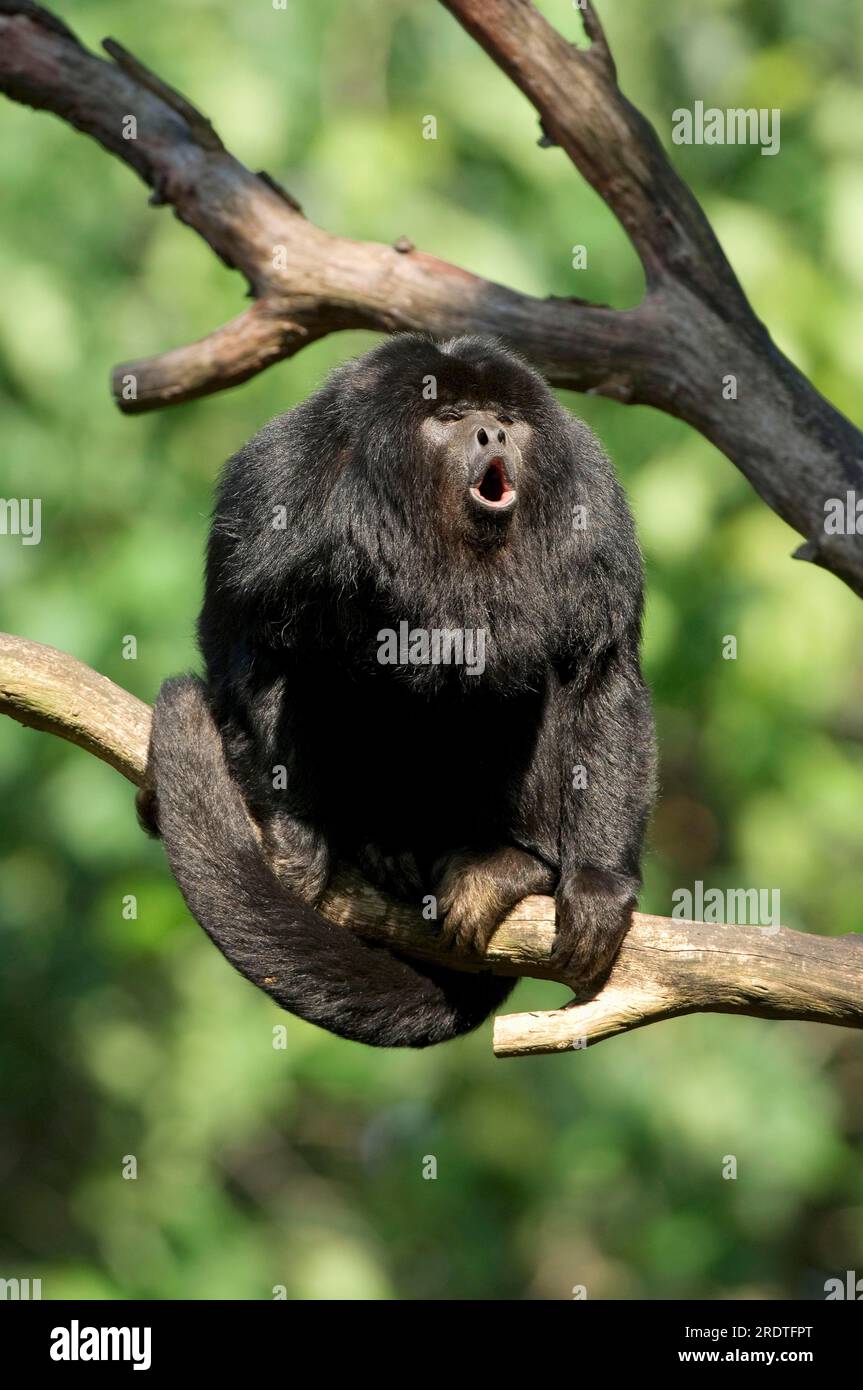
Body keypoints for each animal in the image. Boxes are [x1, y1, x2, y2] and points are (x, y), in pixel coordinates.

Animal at [138, 333, 656, 1048]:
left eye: (506, 418)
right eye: (451, 417)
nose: (493, 433)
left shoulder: (592, 500)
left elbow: (601, 673)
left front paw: (599, 885)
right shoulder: (282, 480)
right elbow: (246, 633)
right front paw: (294, 831)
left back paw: (510, 865)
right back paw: (375, 846)